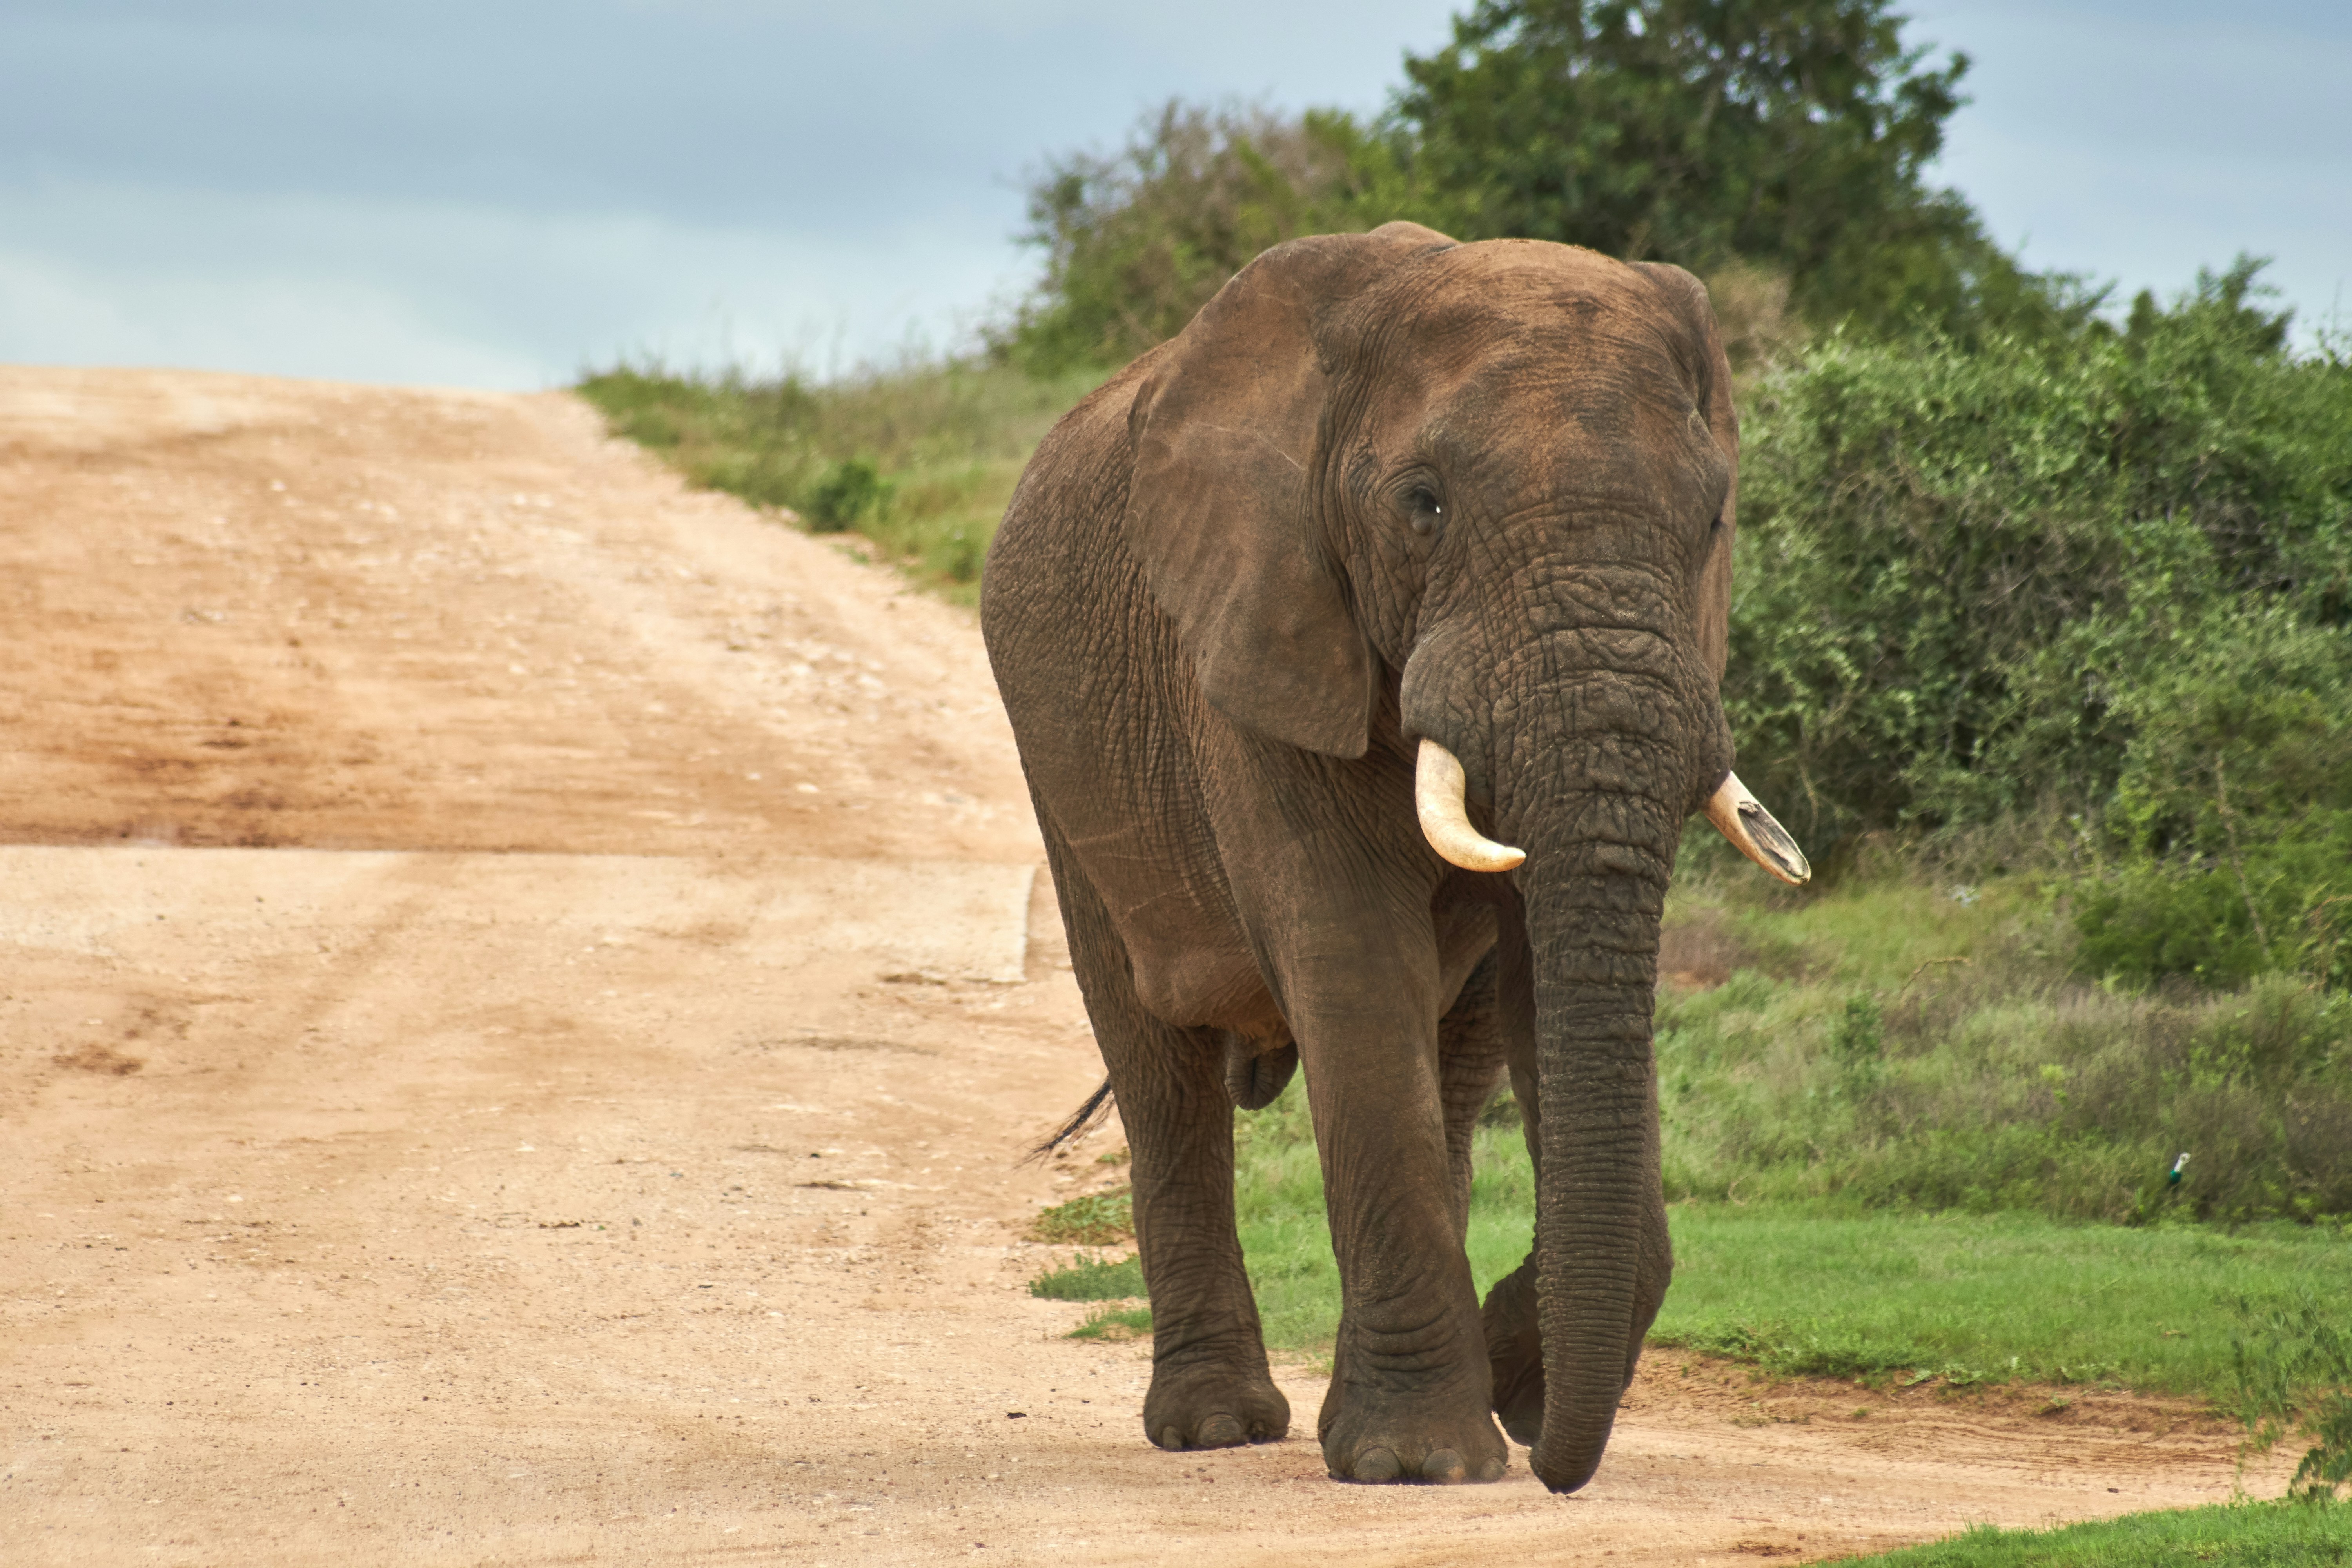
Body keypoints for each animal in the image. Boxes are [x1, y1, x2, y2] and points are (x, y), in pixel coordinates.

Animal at [980, 221, 1809, 1493]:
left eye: (1713, 518)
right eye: (1423, 504)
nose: (1557, 1460)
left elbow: (1530, 976)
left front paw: (1512, 1385)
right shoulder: (1259, 635)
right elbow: (1353, 966)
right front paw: (1422, 1461)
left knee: (1456, 1060)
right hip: (1066, 778)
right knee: (1160, 1068)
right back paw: (1216, 1426)